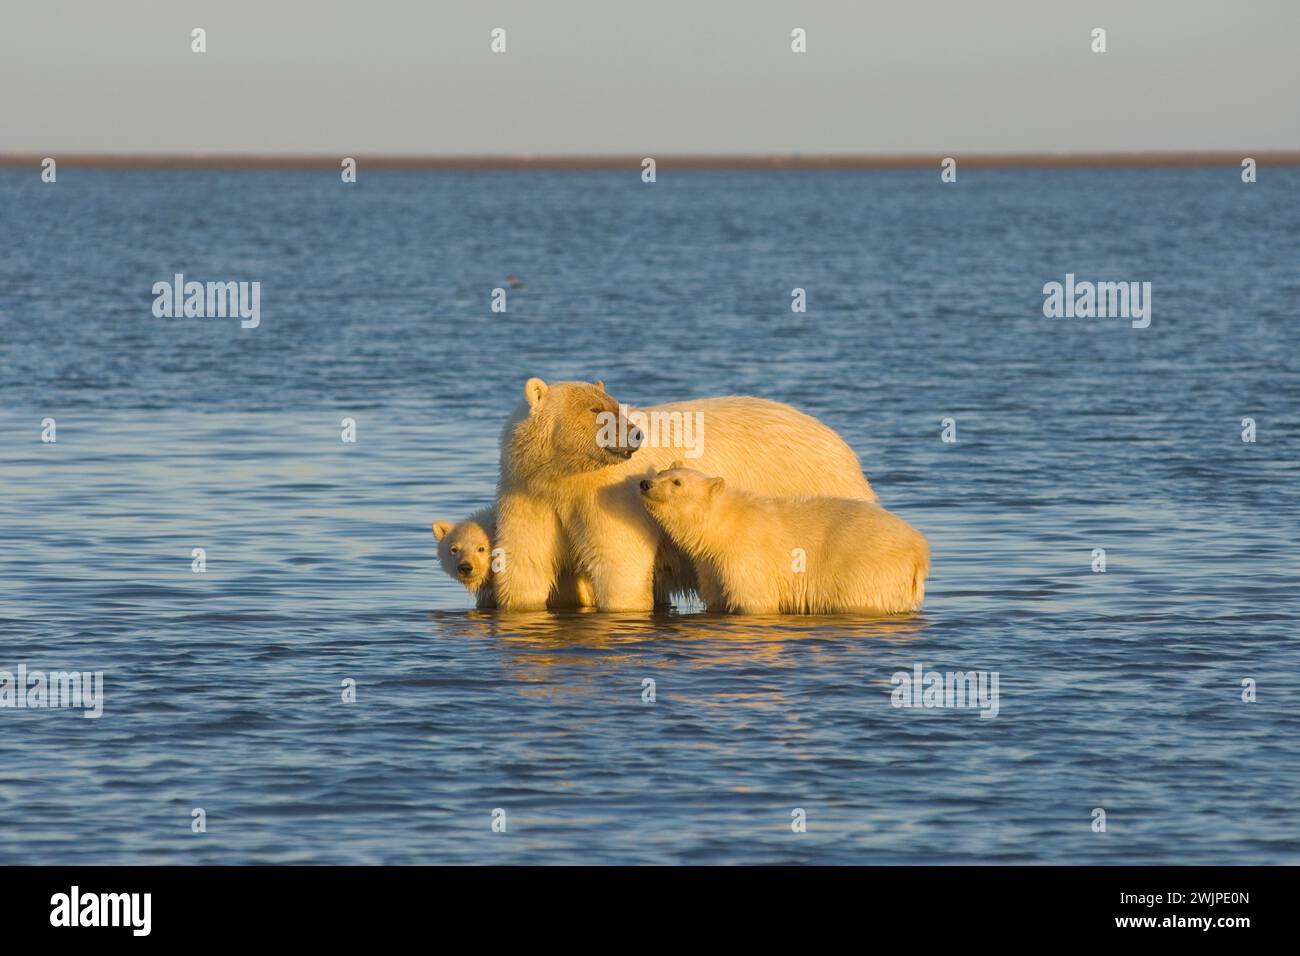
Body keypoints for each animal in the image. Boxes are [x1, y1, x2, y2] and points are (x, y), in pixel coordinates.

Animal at [492, 377, 877, 611]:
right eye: (595, 409)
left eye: (615, 405)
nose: (634, 435)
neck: (563, 476)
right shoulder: (528, 490)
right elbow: (525, 559)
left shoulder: (609, 494)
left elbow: (618, 556)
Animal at [639, 463, 929, 615]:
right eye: (660, 473)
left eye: (677, 482)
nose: (644, 484)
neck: (724, 528)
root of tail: (920, 550)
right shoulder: (711, 565)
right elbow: (717, 597)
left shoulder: (748, 558)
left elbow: (753, 599)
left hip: (865, 571)